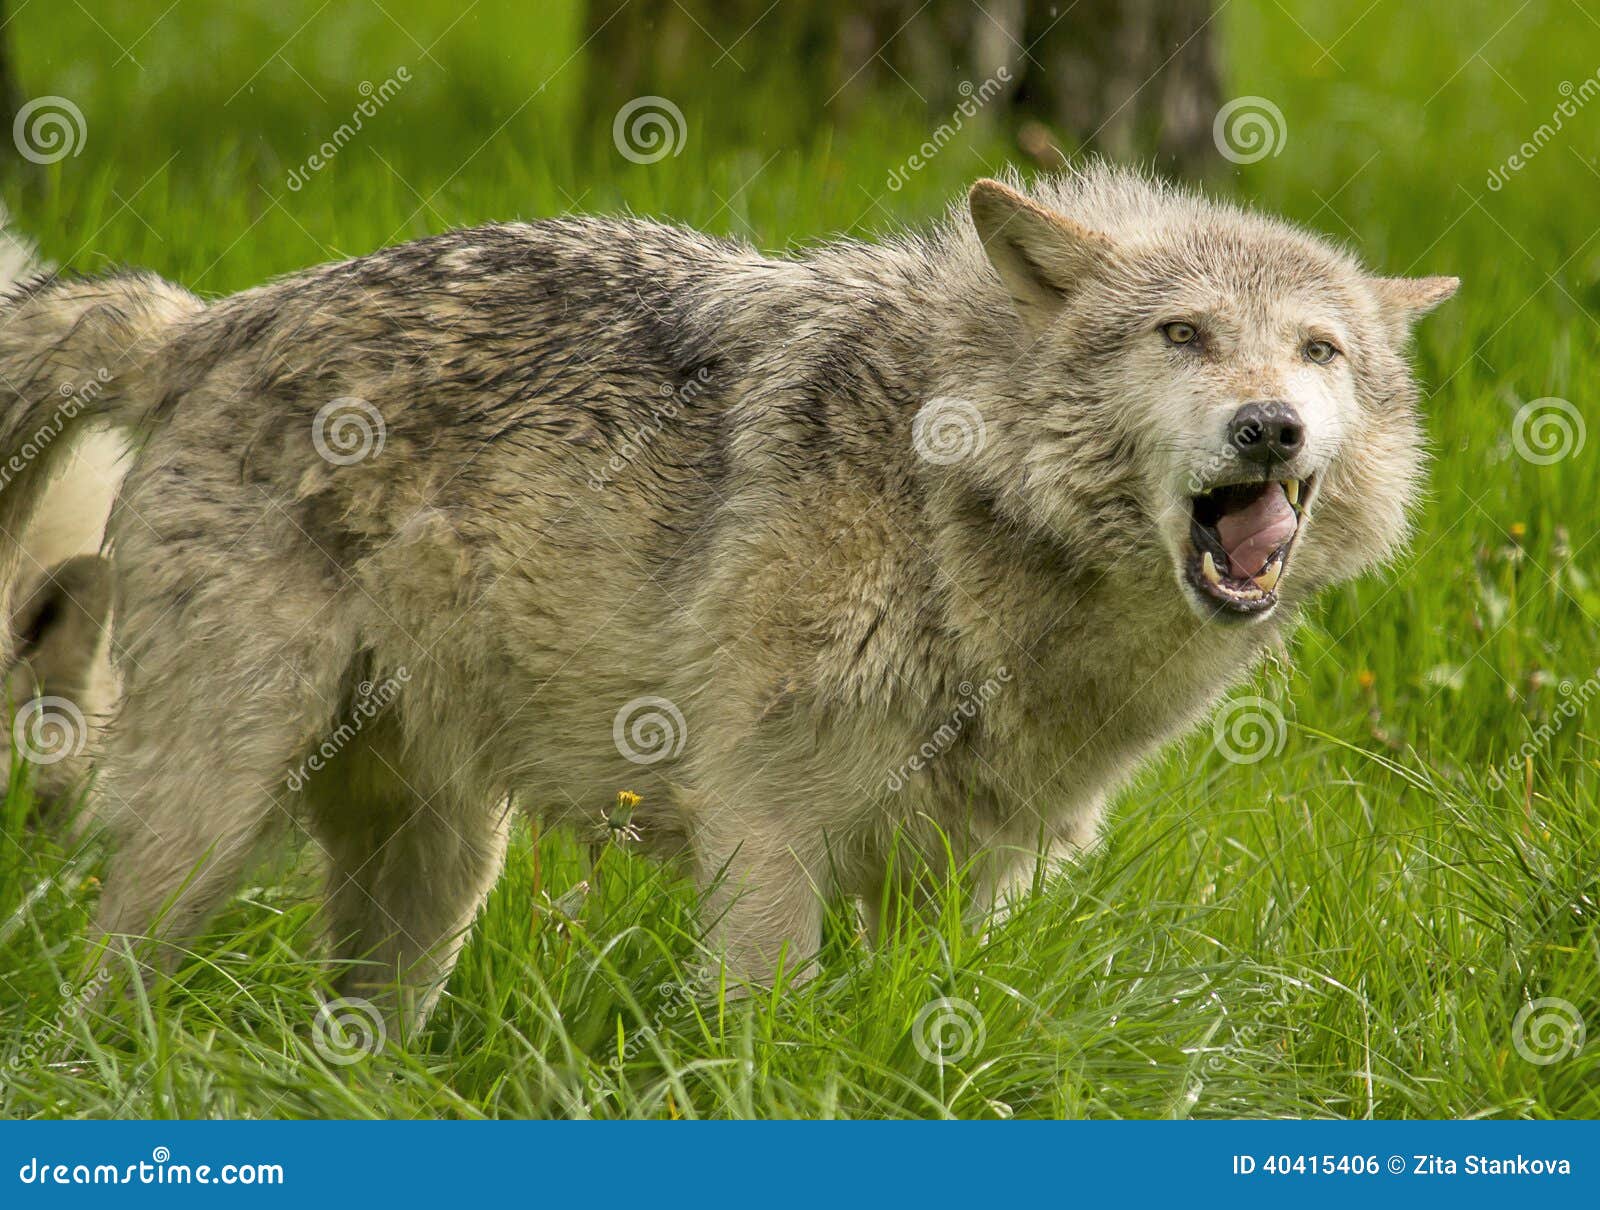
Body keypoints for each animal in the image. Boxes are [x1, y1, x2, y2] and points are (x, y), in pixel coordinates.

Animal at [0, 164, 1455, 1030]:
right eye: (1182, 336)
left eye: (1319, 351)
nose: (1269, 427)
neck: (956, 501)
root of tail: (202, 324)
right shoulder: (764, 827)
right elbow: (768, 1025)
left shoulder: (967, 882)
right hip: (214, 819)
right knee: (99, 993)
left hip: (439, 863)